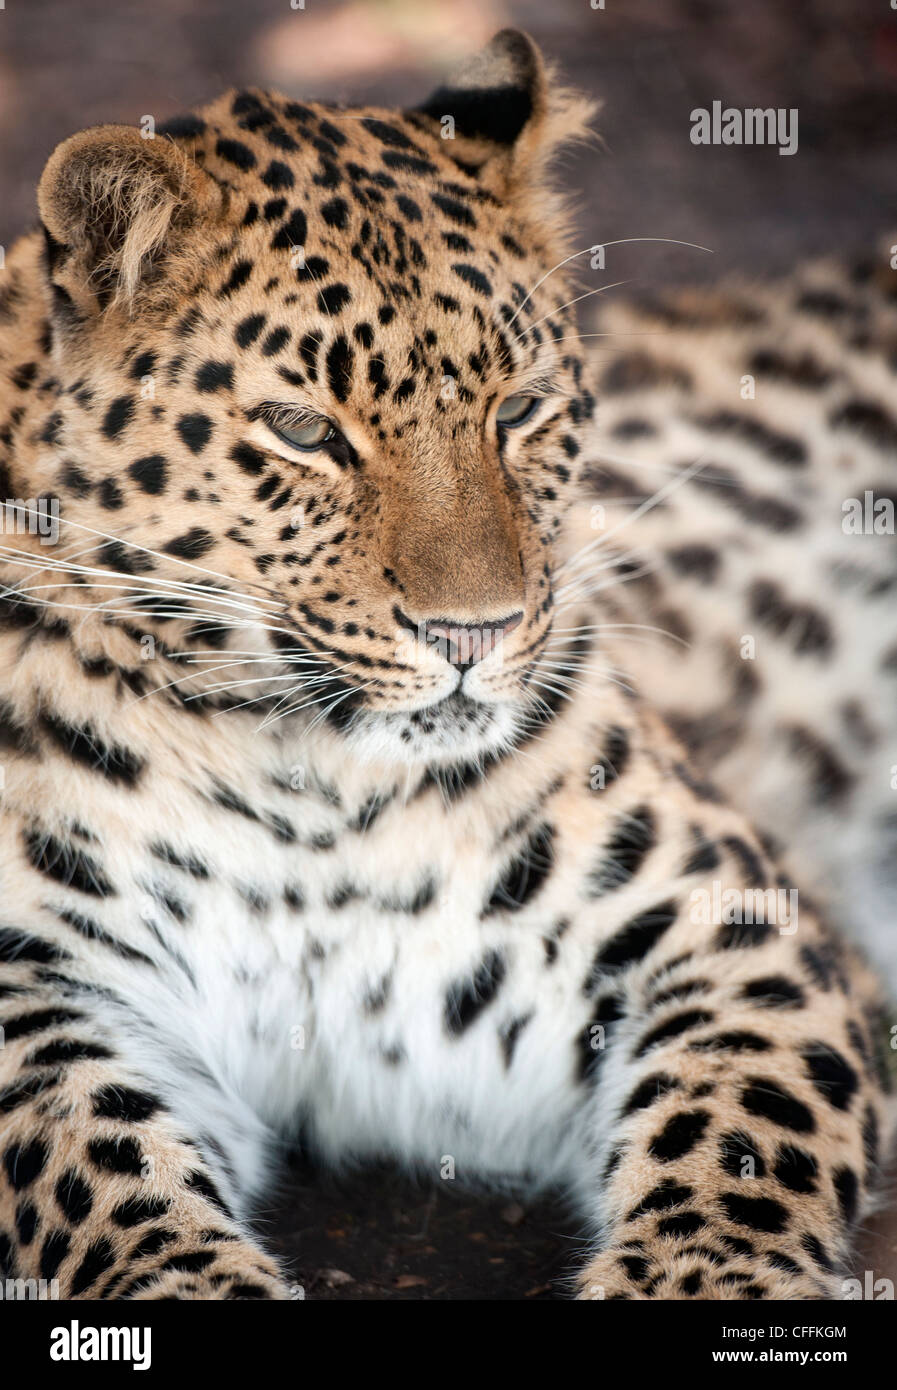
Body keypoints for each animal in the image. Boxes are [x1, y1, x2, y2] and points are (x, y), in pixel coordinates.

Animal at [0, 28, 893, 1303]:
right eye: (304, 432)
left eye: (519, 410)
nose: (478, 631)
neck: (308, 788)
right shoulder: (47, 991)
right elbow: (93, 1168)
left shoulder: (733, 928)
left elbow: (739, 1139)